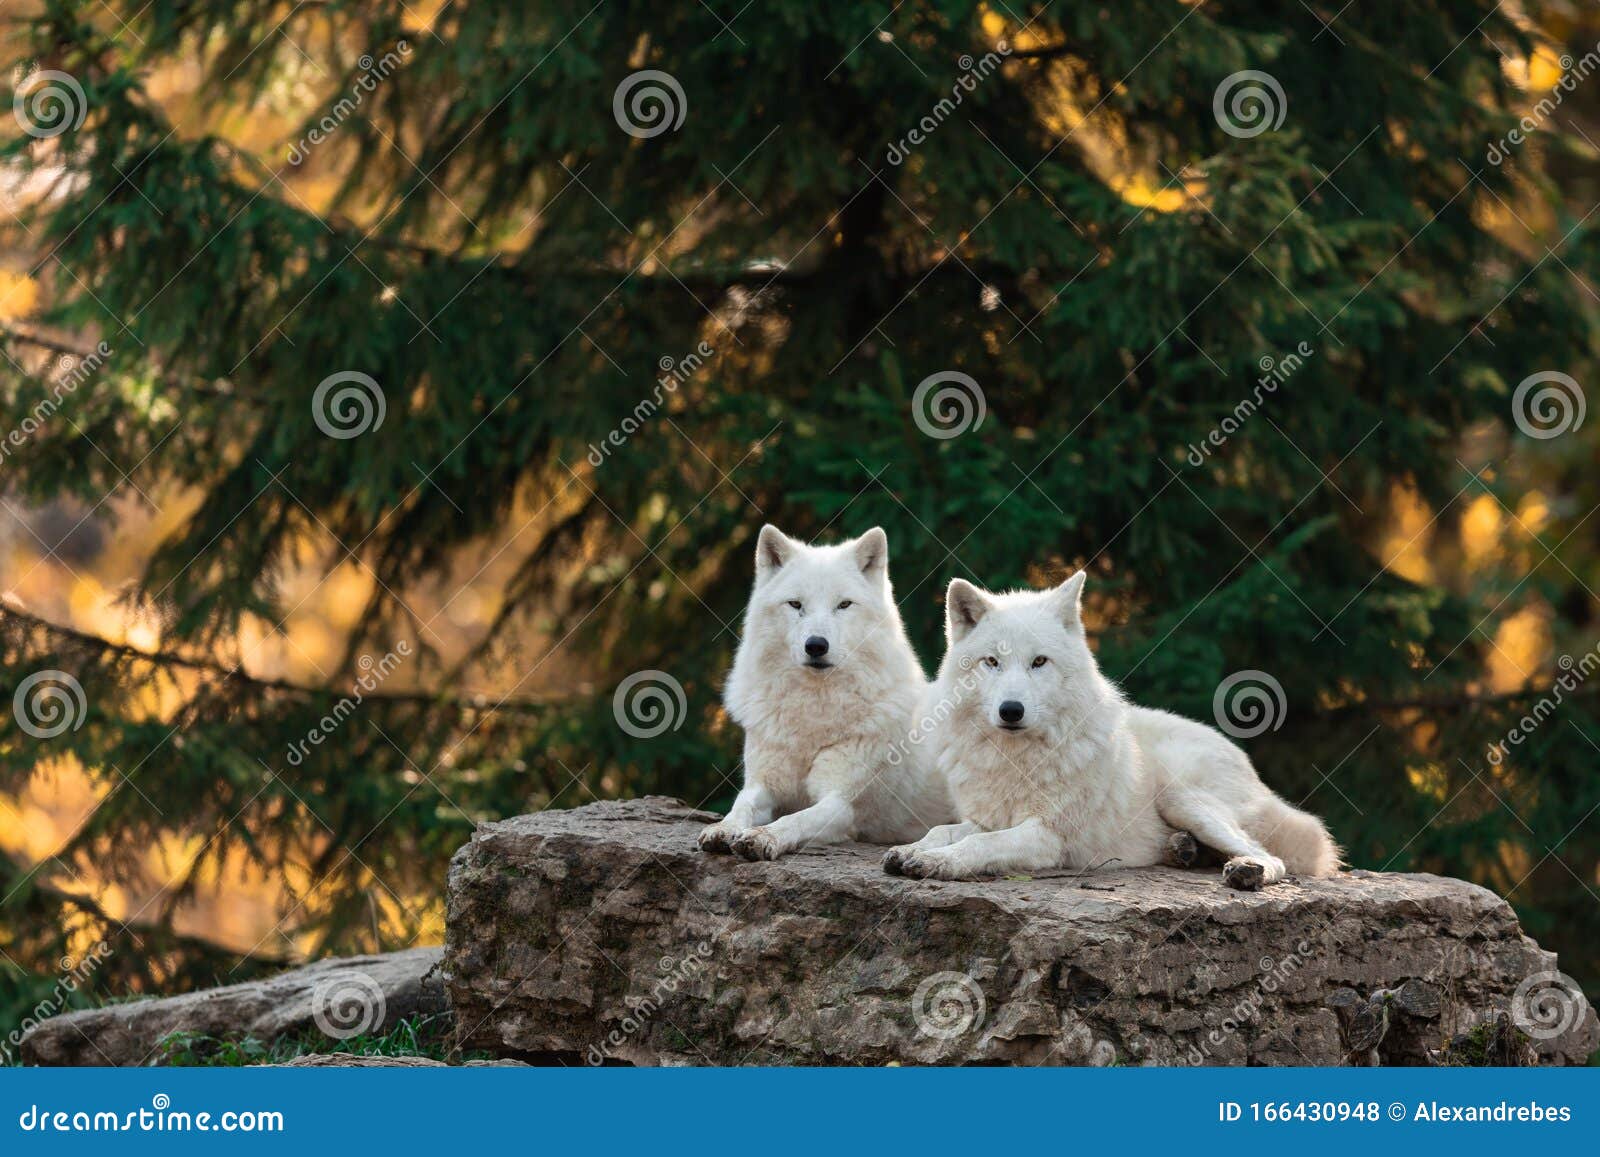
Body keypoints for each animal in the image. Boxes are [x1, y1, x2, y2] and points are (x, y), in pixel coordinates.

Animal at [698, 524, 955, 861]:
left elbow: (795, 819)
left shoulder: (842, 805)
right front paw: (724, 829)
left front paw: (763, 836)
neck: (813, 714)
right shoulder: (763, 784)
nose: (816, 645)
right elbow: (741, 805)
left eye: (843, 605)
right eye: (795, 604)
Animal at [882, 572, 1340, 889]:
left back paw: (1245, 870)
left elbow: (978, 845)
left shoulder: (1047, 836)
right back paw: (1184, 850)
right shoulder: (985, 818)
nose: (1011, 710)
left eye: (1039, 662)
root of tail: (1244, 757)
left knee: (1273, 858)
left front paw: (938, 862)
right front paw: (910, 851)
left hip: (1180, 795)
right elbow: (943, 831)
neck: (1017, 759)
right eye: (992, 662)